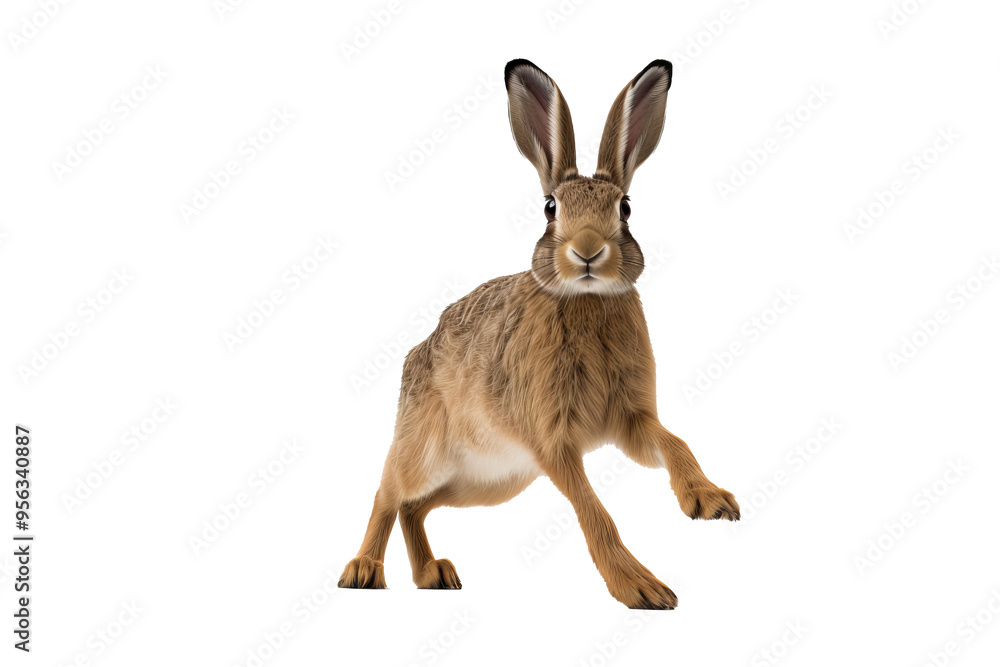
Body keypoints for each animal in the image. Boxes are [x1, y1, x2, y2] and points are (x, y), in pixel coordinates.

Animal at [338, 59, 739, 609]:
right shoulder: (552, 441)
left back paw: (433, 574)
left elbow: (674, 443)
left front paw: (709, 500)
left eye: (626, 207)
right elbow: (595, 512)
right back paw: (362, 570)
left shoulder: (631, 420)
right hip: (426, 448)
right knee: (388, 493)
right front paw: (641, 587)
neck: (586, 301)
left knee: (415, 507)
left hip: (494, 478)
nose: (587, 251)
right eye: (550, 208)